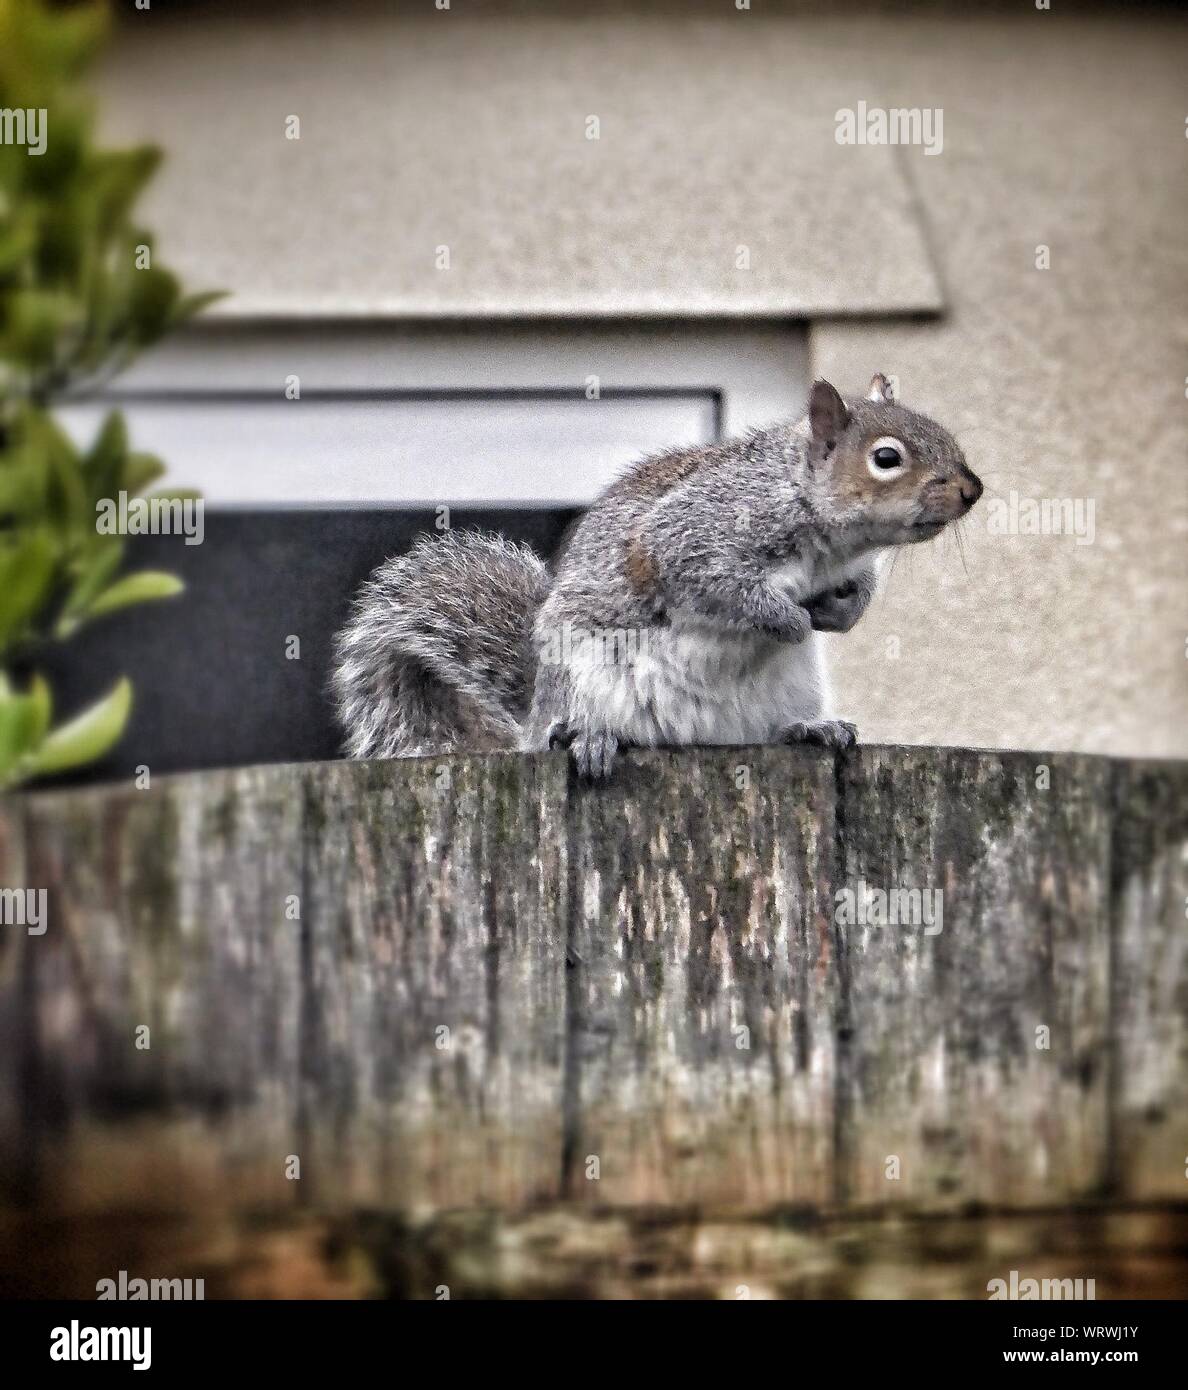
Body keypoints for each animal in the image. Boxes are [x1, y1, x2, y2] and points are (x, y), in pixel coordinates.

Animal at [332, 374, 982, 780]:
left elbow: (857, 594)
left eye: (943, 433)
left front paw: (839, 613)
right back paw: (586, 738)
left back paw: (809, 729)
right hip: (587, 679)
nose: (972, 489)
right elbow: (719, 586)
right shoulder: (693, 537)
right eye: (886, 458)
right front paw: (790, 620)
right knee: (567, 731)